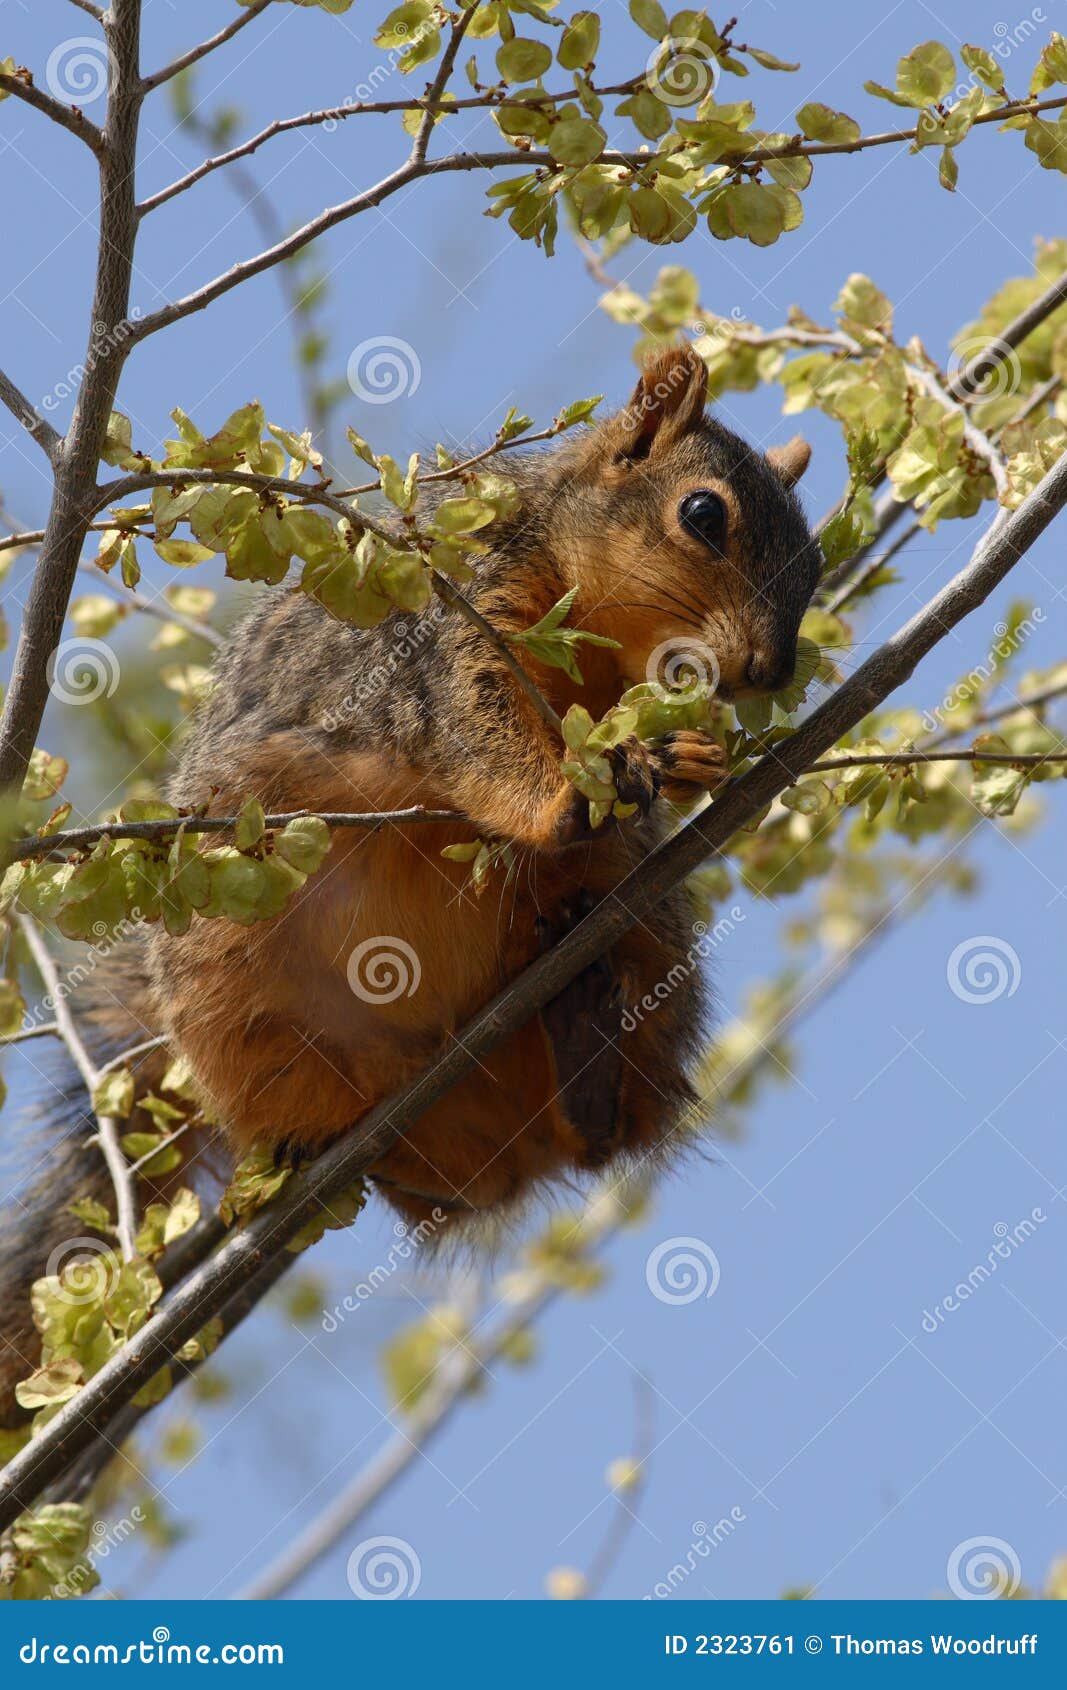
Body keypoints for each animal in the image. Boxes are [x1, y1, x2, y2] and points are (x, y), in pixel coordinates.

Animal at [0, 343, 819, 1423]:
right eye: (702, 515)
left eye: (816, 564)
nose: (768, 667)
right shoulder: (444, 624)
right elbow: (473, 727)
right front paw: (566, 796)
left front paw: (684, 758)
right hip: (225, 962)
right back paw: (317, 1134)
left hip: (655, 942)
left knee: (592, 1140)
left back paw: (587, 1032)